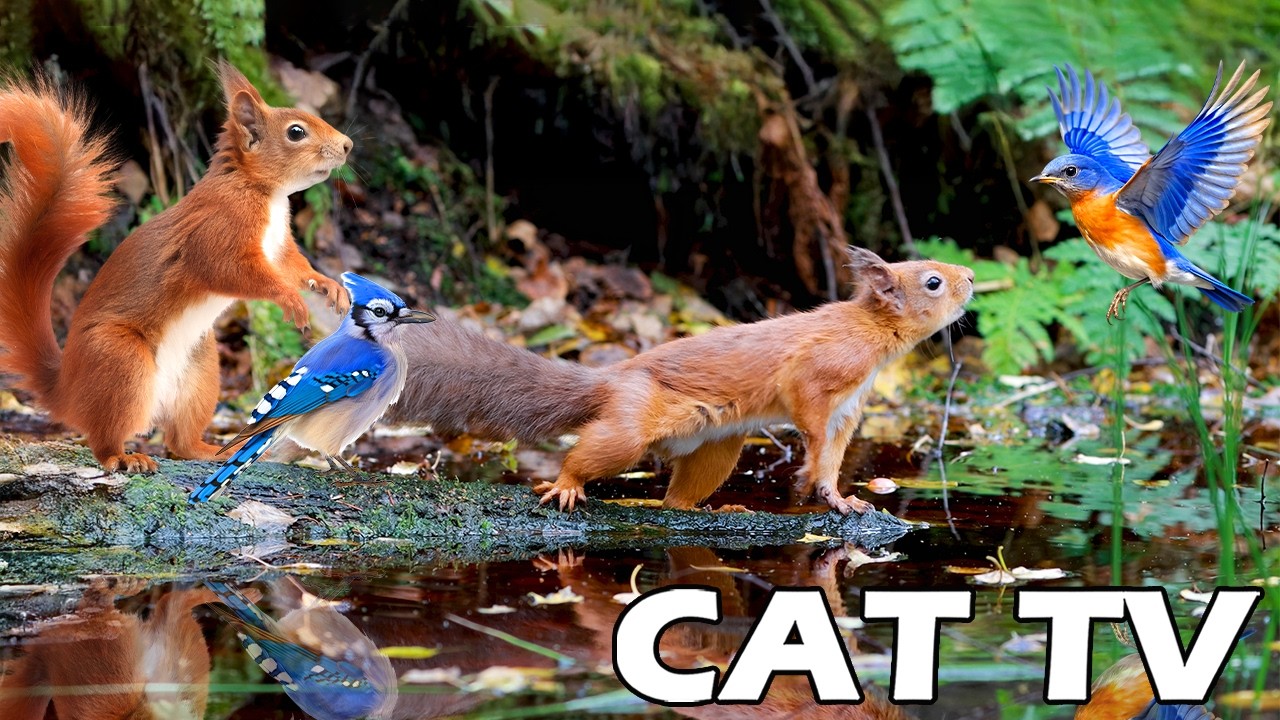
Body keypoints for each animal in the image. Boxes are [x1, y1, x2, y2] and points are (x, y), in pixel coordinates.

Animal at [0, 62, 352, 473]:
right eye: (296, 132)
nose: (348, 145)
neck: (261, 191)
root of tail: (67, 388)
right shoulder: (216, 231)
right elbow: (233, 271)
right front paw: (289, 299)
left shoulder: (279, 246)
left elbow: (294, 265)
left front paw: (327, 285)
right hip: (121, 360)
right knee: (104, 436)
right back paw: (123, 456)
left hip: (202, 371)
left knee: (179, 441)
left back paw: (211, 451)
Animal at [384, 246, 974, 514]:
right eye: (933, 280)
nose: (970, 277)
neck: (870, 332)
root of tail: (610, 380)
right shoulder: (819, 368)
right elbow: (807, 417)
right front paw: (809, 477)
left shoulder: (848, 408)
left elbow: (833, 453)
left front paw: (839, 497)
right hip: (628, 428)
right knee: (592, 454)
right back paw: (567, 485)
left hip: (718, 447)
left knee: (678, 500)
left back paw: (718, 508)